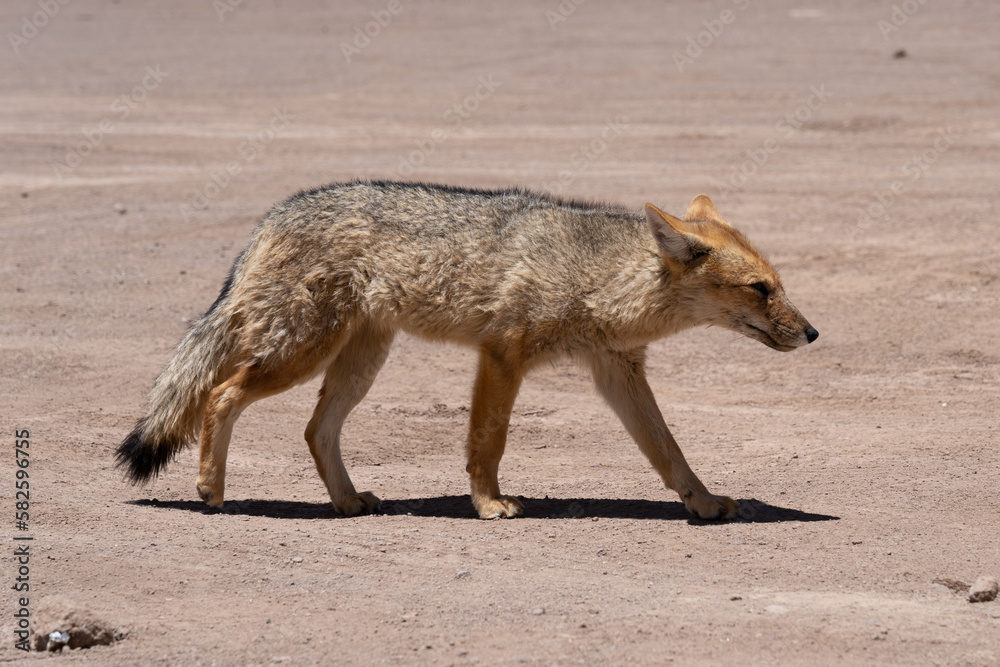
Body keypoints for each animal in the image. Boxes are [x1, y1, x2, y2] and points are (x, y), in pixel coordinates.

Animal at [116, 180, 818, 520]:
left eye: (779, 285)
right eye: (761, 290)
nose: (813, 334)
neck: (599, 276)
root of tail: (275, 213)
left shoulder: (617, 370)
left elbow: (670, 452)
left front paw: (702, 503)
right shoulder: (502, 354)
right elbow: (488, 441)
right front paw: (488, 506)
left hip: (359, 363)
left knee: (315, 430)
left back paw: (347, 502)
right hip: (302, 355)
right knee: (219, 394)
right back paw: (210, 489)